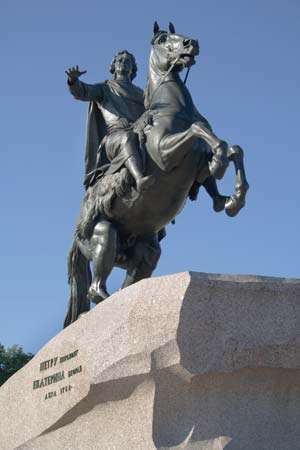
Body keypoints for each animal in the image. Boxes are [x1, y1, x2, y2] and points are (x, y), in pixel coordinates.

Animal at [64, 22, 250, 326]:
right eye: (163, 39)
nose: (191, 43)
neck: (174, 109)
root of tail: (76, 232)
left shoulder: (197, 163)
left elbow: (230, 148)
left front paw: (232, 199)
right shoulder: (164, 152)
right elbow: (201, 133)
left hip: (145, 253)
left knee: (131, 279)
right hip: (102, 233)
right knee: (94, 288)